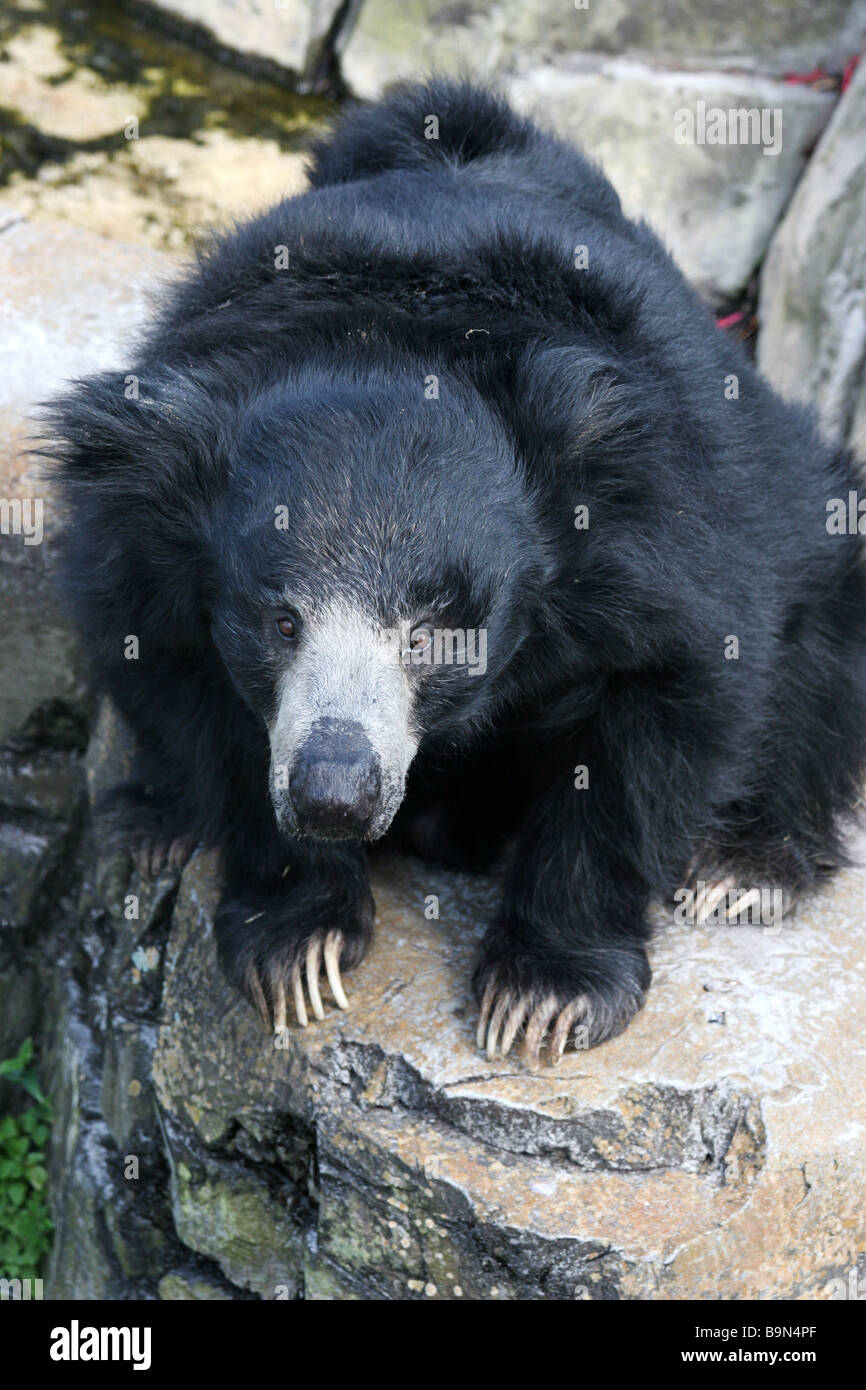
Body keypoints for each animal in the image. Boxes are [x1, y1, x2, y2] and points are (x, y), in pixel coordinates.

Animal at [45, 79, 866, 1066]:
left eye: (436, 633)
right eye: (280, 622)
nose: (334, 794)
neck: (393, 334)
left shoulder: (659, 542)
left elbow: (660, 713)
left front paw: (543, 997)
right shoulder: (137, 548)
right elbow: (195, 697)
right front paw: (299, 946)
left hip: (809, 523)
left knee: (818, 653)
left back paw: (742, 868)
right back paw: (157, 824)